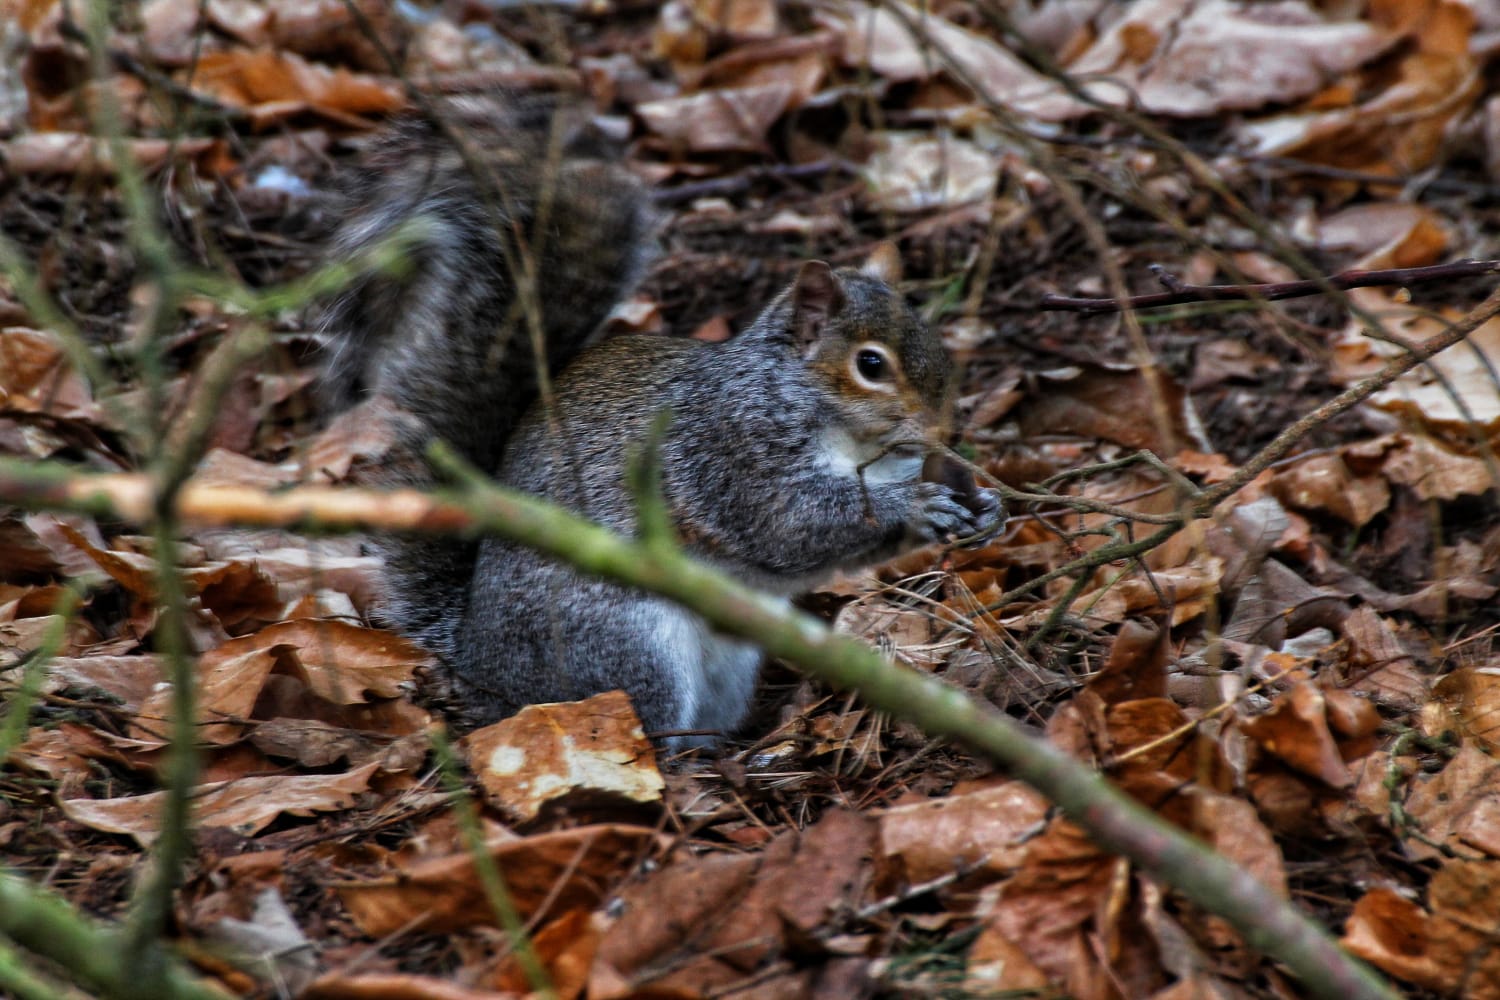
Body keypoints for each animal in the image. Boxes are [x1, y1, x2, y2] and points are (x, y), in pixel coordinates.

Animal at [319, 96, 1004, 749]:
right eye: (871, 364)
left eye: (934, 340)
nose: (941, 431)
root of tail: (485, 668)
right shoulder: (732, 451)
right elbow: (794, 524)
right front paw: (915, 504)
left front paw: (986, 509)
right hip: (626, 646)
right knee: (641, 724)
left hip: (730, 660)